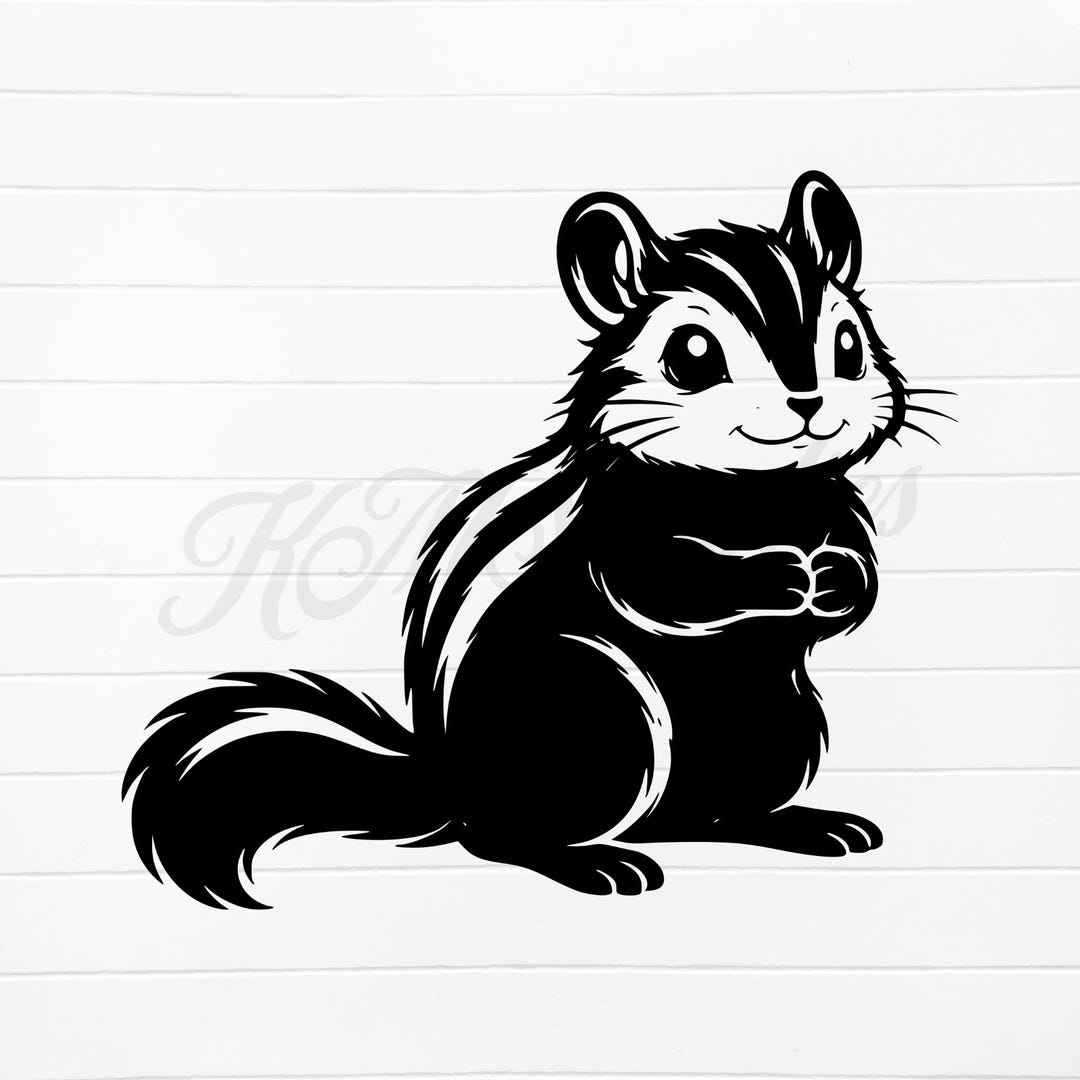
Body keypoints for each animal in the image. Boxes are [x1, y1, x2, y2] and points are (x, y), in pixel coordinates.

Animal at [123, 171, 950, 906]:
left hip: (776, 724)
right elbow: (662, 586)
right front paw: (776, 577)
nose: (808, 402)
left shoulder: (835, 505)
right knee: (502, 838)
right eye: (692, 354)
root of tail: (454, 783)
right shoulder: (621, 528)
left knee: (712, 815)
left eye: (848, 345)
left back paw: (802, 824)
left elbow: (863, 584)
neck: (758, 496)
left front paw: (833, 580)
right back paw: (594, 863)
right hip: (589, 710)